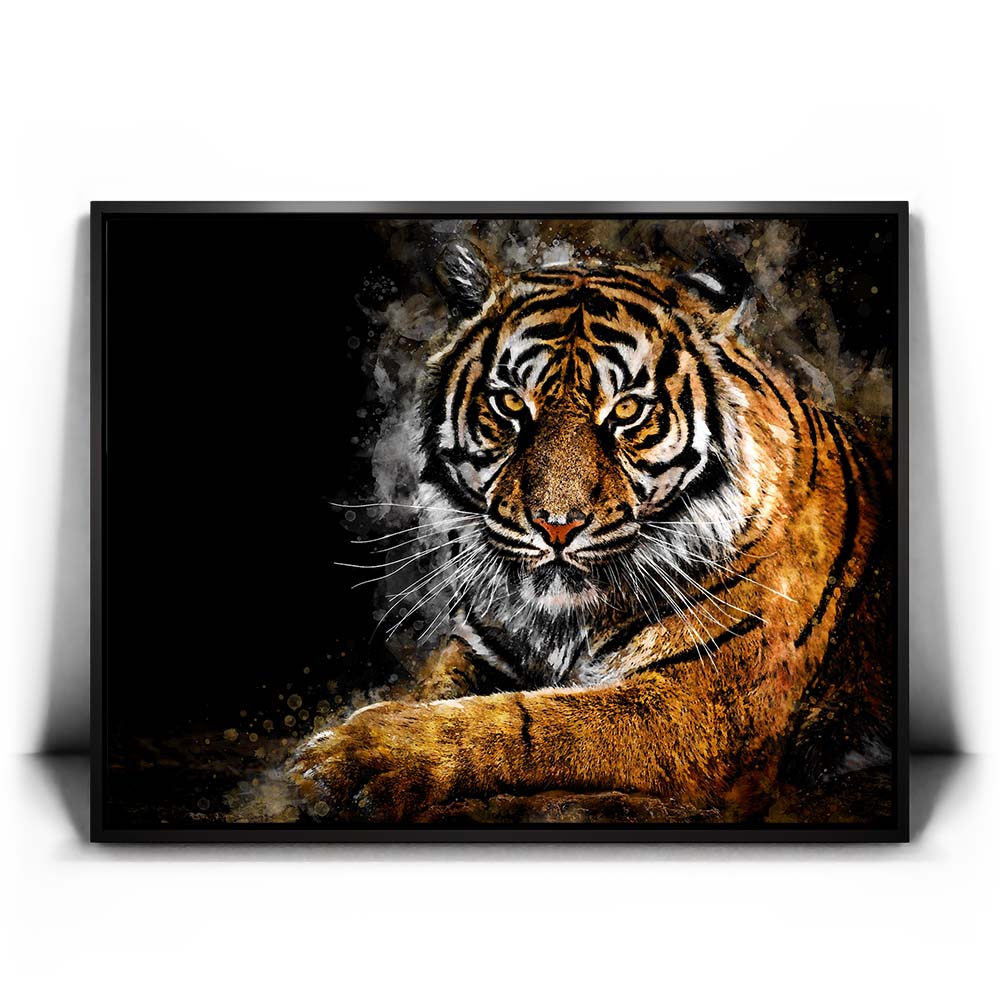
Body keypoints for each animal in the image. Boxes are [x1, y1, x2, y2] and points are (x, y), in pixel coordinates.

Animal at [287, 238, 893, 823]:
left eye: (626, 410)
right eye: (510, 402)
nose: (557, 527)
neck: (560, 623)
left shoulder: (703, 707)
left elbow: (532, 722)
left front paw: (354, 757)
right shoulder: (481, 649)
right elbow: (440, 691)